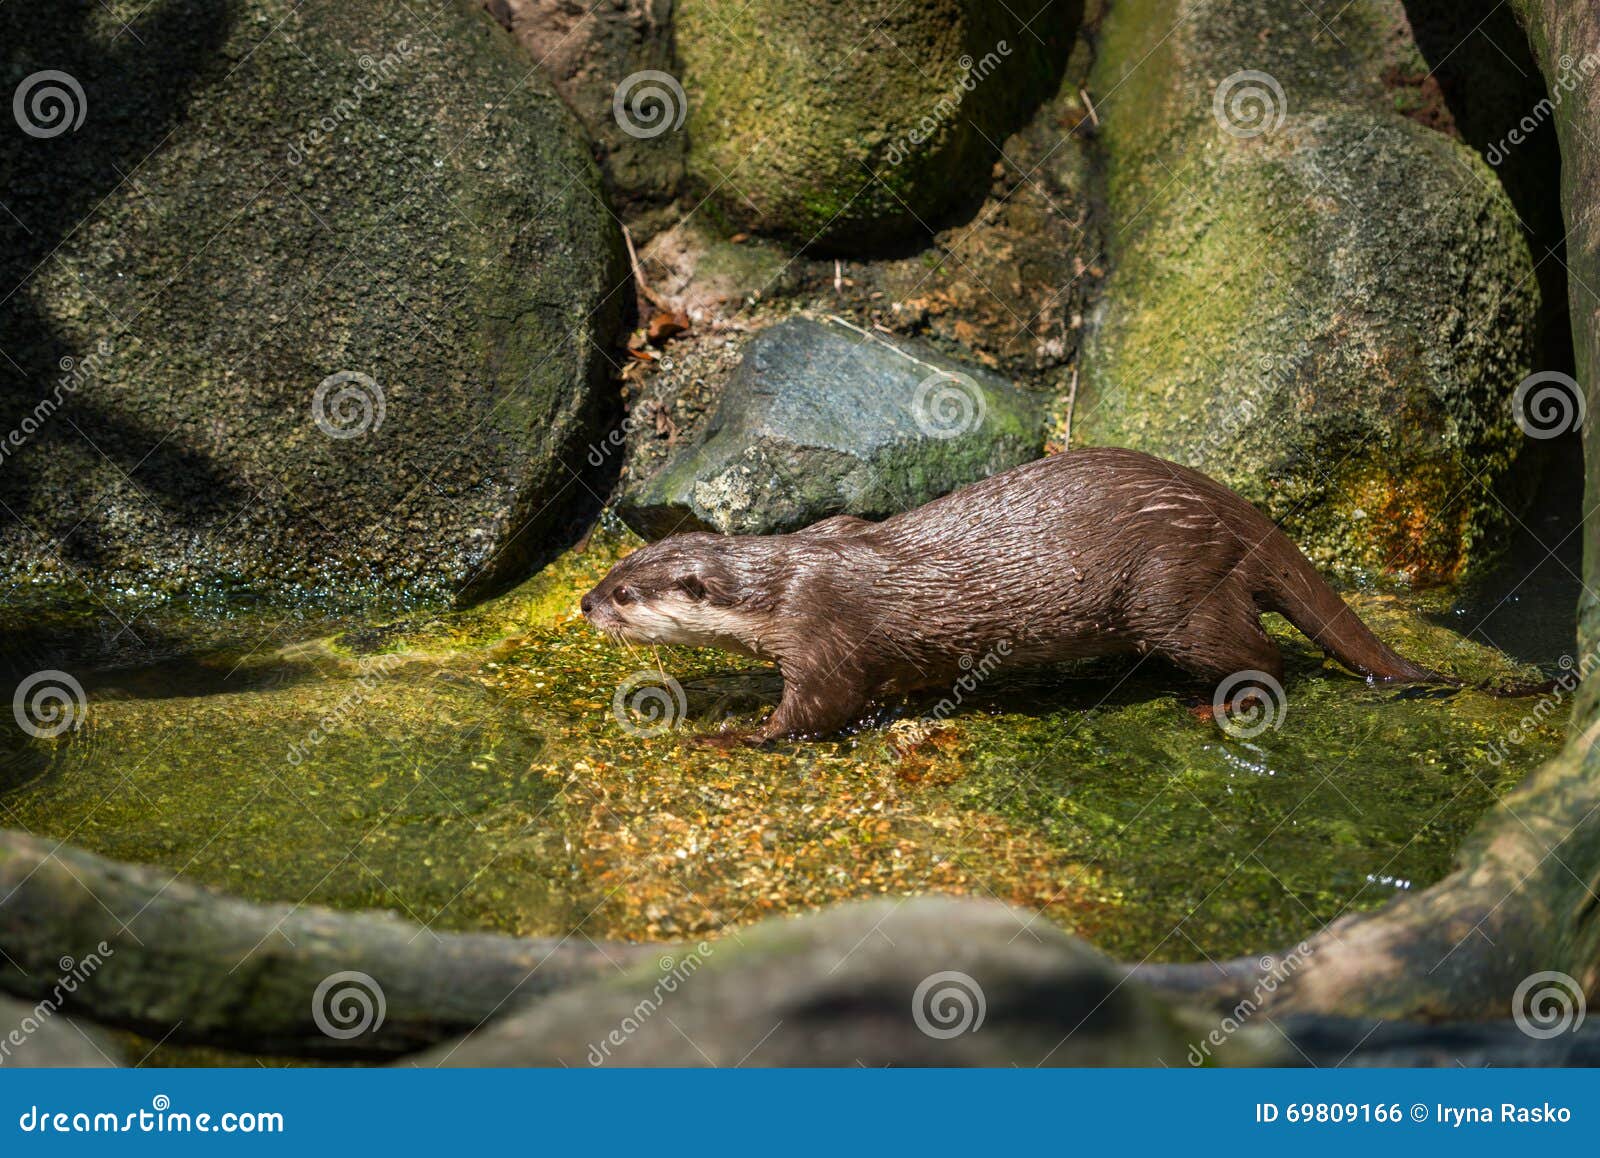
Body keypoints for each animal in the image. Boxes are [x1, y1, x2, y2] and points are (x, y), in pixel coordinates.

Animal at [582, 447, 1451, 742]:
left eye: (625, 592)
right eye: (611, 572)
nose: (583, 605)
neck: (785, 582)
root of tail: (1226, 505)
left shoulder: (825, 634)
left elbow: (815, 710)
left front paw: (735, 736)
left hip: (1172, 591)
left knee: (1265, 655)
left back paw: (1220, 707)